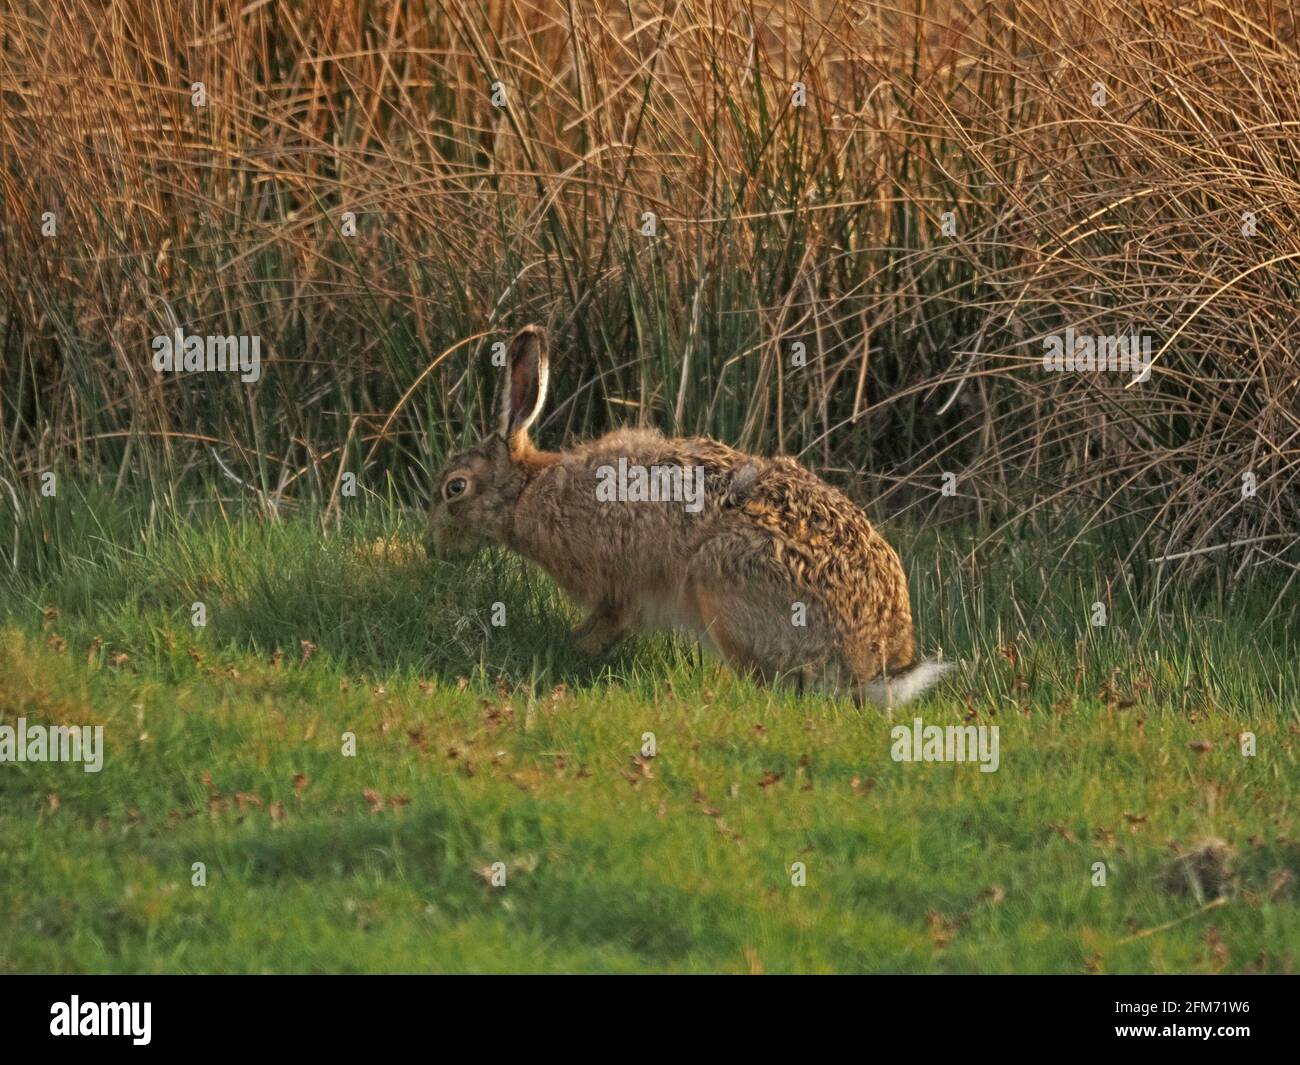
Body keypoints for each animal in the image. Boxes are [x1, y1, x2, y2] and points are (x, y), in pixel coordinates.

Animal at [425, 324, 952, 706]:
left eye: (455, 488)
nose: (433, 548)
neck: (527, 491)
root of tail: (872, 664)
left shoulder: (618, 586)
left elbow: (610, 622)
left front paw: (573, 647)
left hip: (721, 586)